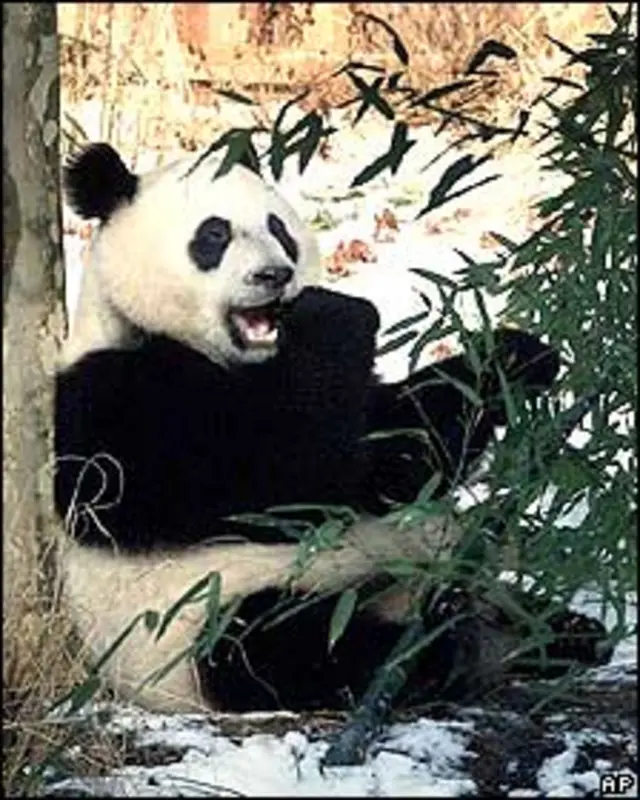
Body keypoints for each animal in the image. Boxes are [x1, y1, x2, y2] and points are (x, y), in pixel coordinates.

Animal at [55, 142, 612, 714]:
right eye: (213, 236)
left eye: (278, 229)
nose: (274, 276)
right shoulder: (116, 397)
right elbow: (285, 478)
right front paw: (338, 315)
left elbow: (392, 456)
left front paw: (519, 359)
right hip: (193, 626)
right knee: (281, 645)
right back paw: (444, 651)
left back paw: (558, 634)